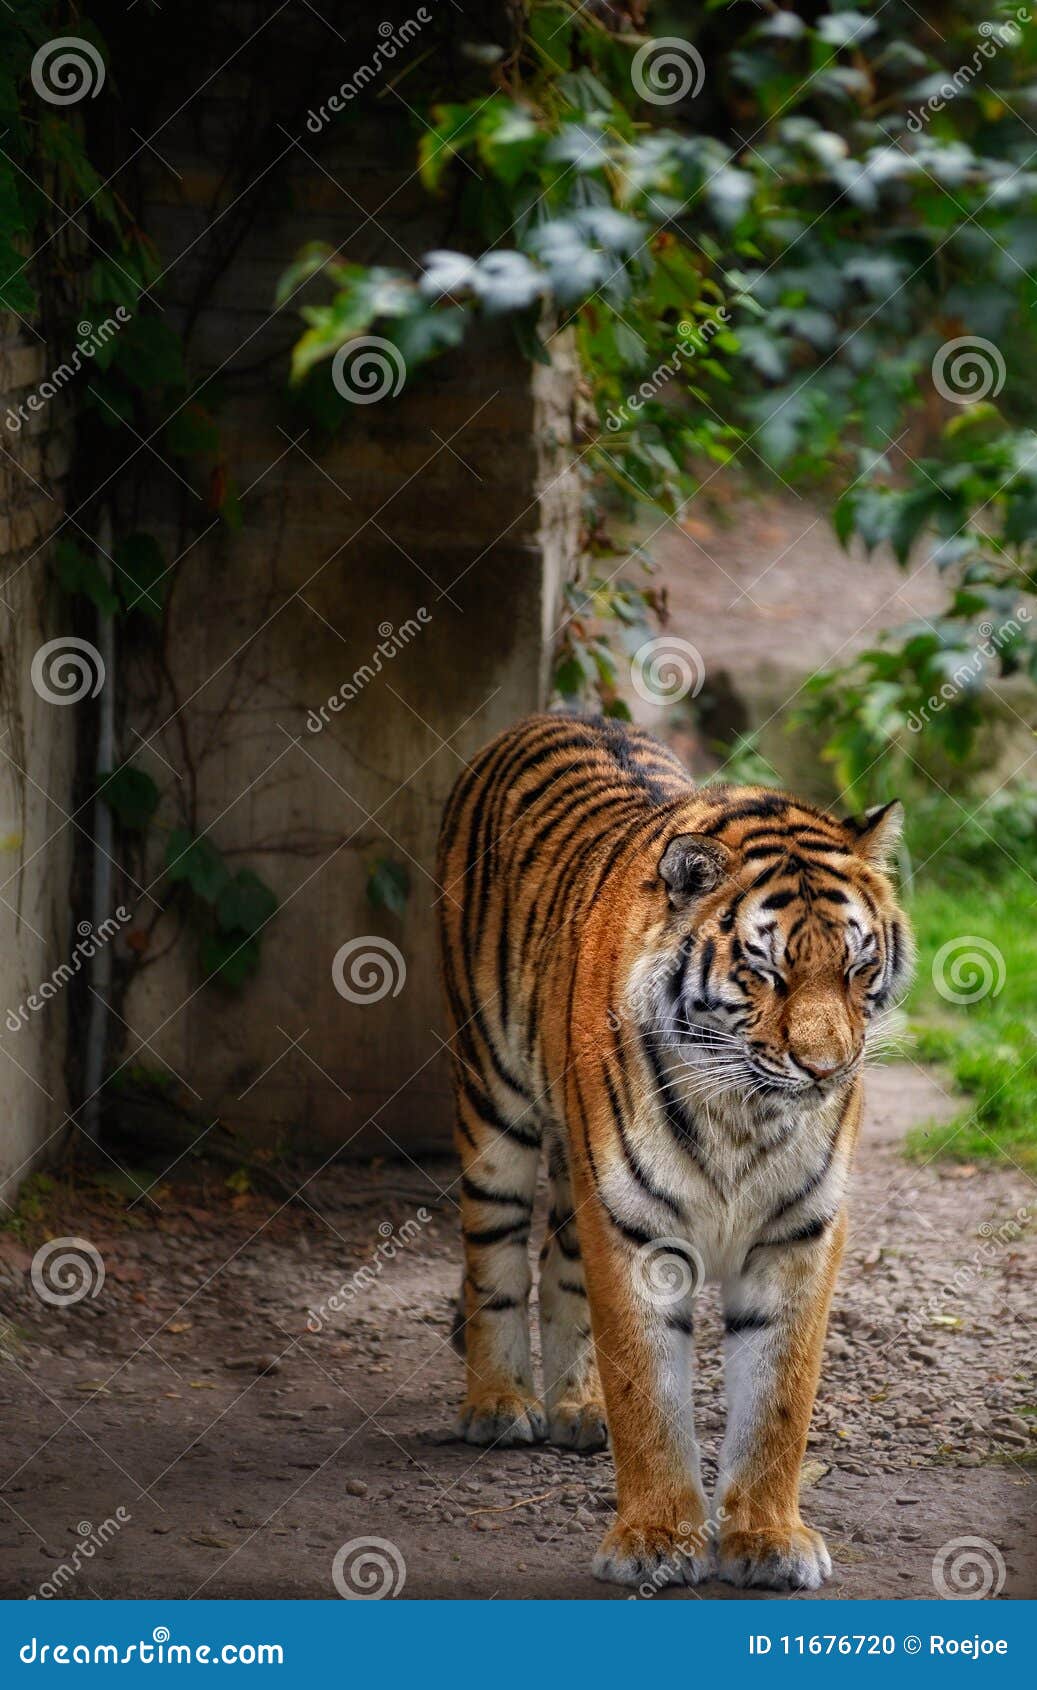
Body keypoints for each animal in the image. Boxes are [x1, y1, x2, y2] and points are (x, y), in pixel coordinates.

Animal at [435, 712, 912, 1591]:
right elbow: (647, 1393)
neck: (745, 1115)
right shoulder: (634, 1230)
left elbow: (779, 1398)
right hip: (491, 1100)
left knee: (556, 1263)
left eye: (857, 967)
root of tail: (549, 714)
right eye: (765, 973)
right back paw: (497, 1402)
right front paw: (654, 1540)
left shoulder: (799, 1232)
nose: (826, 1069)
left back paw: (577, 1409)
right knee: (493, 1254)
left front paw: (767, 1540)